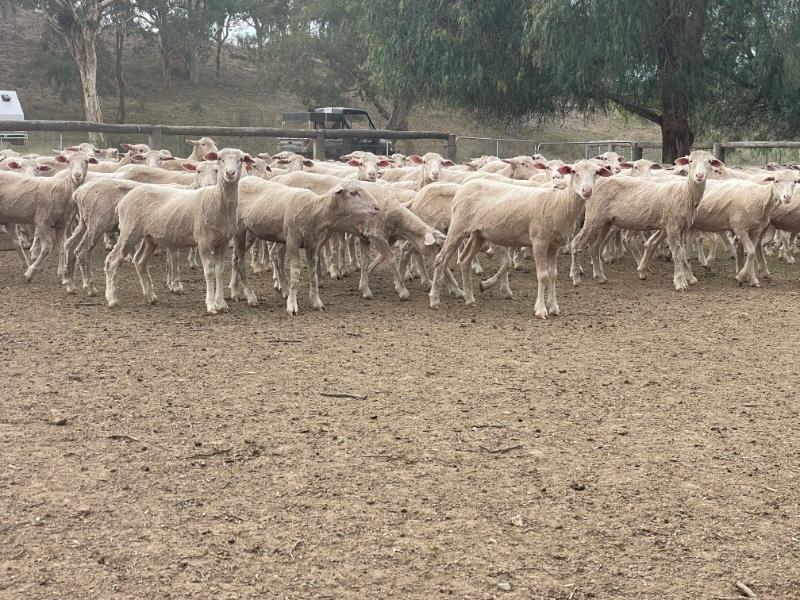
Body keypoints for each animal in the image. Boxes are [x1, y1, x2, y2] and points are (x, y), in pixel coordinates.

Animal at [0, 151, 97, 281]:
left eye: (86, 161)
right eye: (68, 161)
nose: (77, 175)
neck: (63, 189)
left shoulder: (61, 225)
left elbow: (62, 246)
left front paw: (61, 272)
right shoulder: (42, 222)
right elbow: (47, 248)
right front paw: (30, 273)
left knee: (16, 242)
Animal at [104, 149, 254, 314]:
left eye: (241, 159)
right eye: (220, 159)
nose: (230, 173)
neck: (216, 200)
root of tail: (122, 201)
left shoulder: (223, 242)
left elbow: (219, 271)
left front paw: (221, 304)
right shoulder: (204, 242)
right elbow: (209, 271)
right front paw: (211, 305)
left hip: (149, 237)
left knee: (140, 260)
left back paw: (151, 297)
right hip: (129, 230)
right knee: (112, 260)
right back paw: (112, 299)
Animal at [228, 177, 380, 314]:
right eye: (354, 193)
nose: (377, 207)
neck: (314, 211)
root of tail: (243, 179)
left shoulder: (312, 244)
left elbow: (313, 273)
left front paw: (316, 302)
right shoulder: (292, 241)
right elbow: (295, 272)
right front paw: (292, 305)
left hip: (250, 233)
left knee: (235, 259)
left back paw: (235, 292)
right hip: (239, 230)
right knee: (240, 262)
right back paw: (251, 297)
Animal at [429, 160, 612, 318]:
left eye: (596, 173)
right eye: (574, 171)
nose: (587, 191)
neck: (559, 204)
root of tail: (463, 187)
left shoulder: (554, 245)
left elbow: (553, 275)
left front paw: (554, 307)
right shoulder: (539, 242)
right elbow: (543, 276)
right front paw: (540, 309)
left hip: (478, 233)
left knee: (465, 259)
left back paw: (469, 298)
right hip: (458, 227)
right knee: (441, 259)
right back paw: (435, 299)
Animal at [571, 150, 722, 291]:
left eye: (709, 162)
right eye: (690, 161)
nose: (699, 176)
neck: (685, 193)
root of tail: (595, 185)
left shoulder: (682, 227)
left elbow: (682, 252)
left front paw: (690, 278)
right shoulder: (672, 225)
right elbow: (678, 252)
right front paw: (680, 282)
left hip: (605, 222)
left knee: (594, 247)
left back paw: (601, 277)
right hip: (593, 218)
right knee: (576, 243)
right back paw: (576, 277)